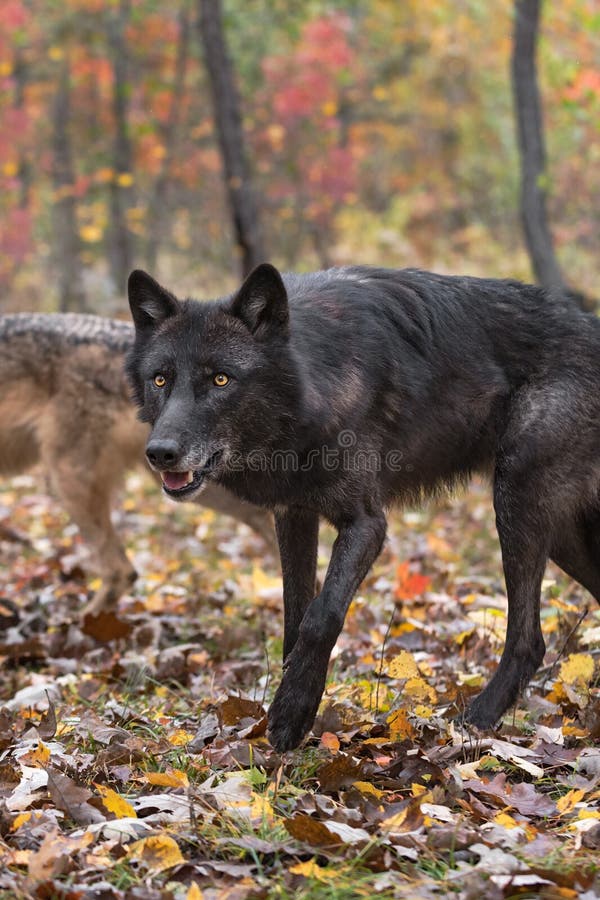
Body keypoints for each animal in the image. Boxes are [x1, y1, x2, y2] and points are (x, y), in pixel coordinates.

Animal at [126, 264, 600, 751]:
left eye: (220, 379)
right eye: (160, 379)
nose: (160, 453)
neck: (310, 387)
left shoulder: (367, 524)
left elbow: (321, 615)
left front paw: (292, 714)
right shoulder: (294, 515)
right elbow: (294, 617)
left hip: (516, 505)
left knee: (529, 641)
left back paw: (477, 720)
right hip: (559, 537)